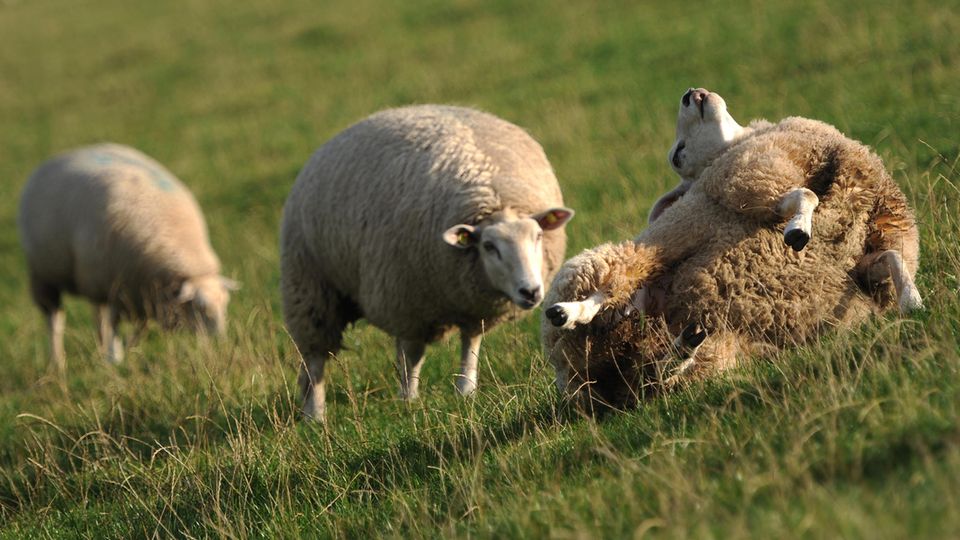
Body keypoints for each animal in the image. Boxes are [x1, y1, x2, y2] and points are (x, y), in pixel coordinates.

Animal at [18, 143, 238, 373]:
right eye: (200, 307)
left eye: (225, 305)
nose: (221, 342)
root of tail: (65, 154)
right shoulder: (111, 287)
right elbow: (112, 325)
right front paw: (114, 359)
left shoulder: (140, 292)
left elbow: (138, 327)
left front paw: (126, 351)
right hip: (45, 274)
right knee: (55, 320)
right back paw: (58, 363)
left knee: (95, 318)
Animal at [280, 104, 574, 421]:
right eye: (489, 246)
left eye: (538, 236)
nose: (530, 291)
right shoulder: (406, 304)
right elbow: (411, 356)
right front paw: (409, 401)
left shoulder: (472, 305)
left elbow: (470, 345)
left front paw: (465, 391)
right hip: (309, 285)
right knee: (315, 357)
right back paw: (315, 414)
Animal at [542, 90, 920, 407]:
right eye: (678, 155)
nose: (691, 94)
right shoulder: (753, 186)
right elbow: (805, 196)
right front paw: (798, 230)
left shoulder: (868, 252)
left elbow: (891, 257)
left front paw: (912, 301)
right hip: (645, 250)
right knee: (614, 281)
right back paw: (569, 312)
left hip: (715, 348)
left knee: (654, 377)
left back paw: (680, 349)